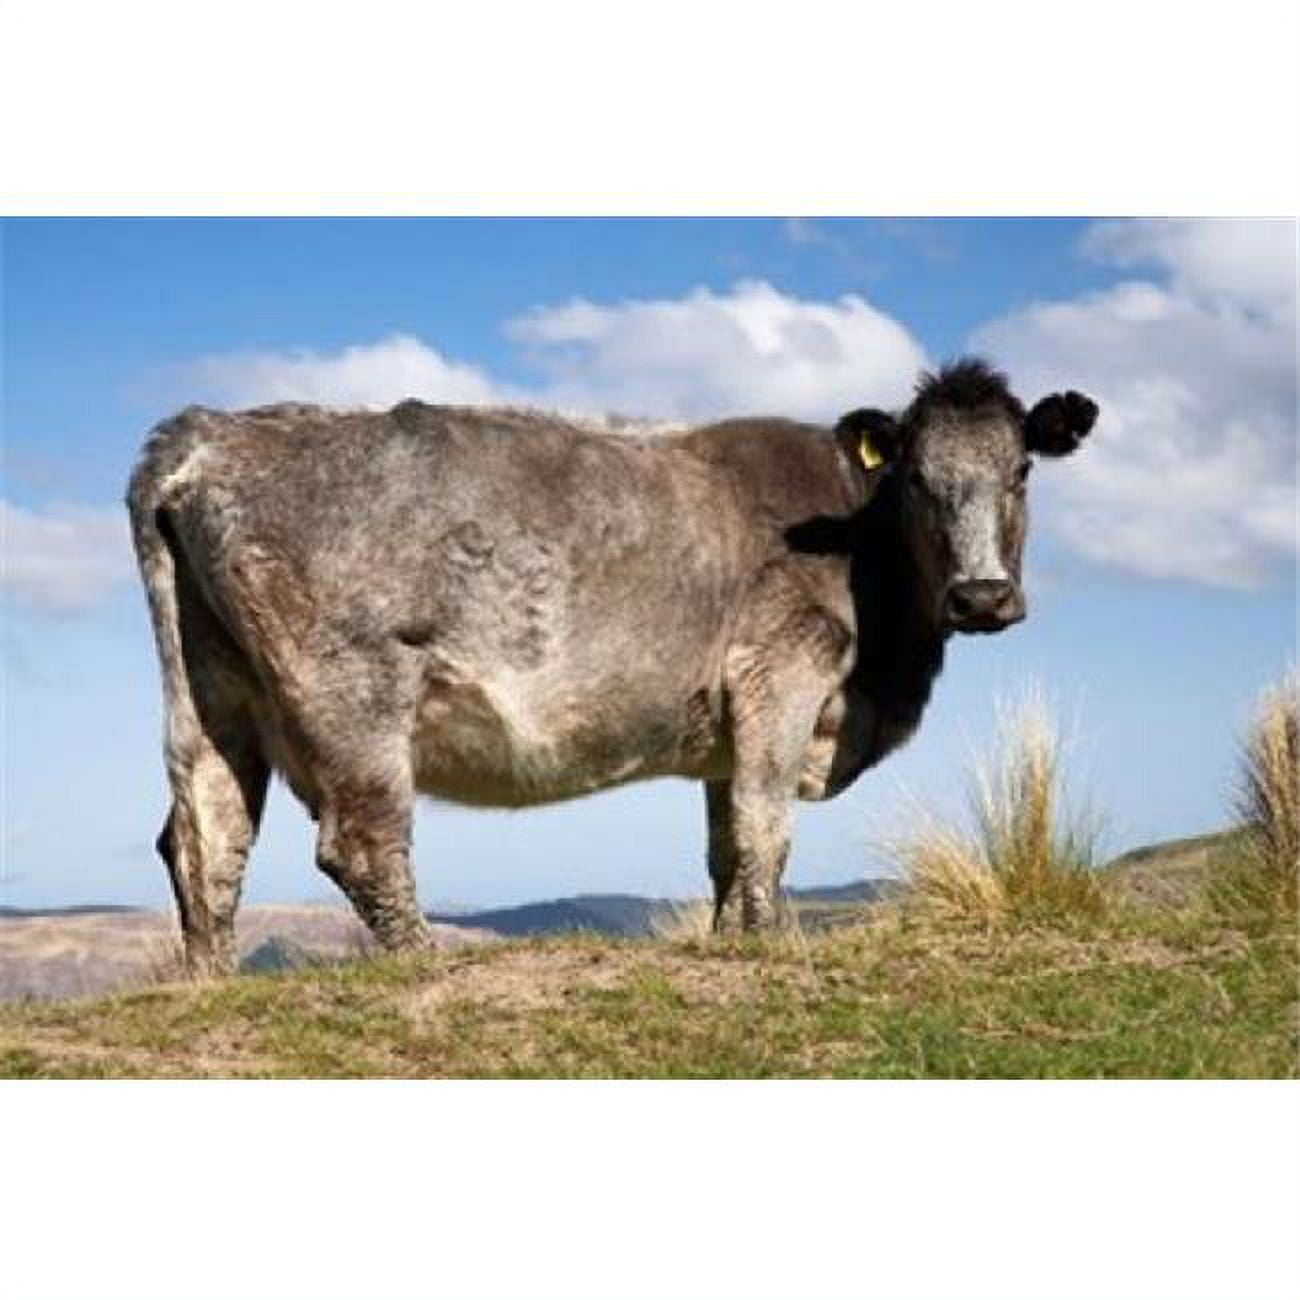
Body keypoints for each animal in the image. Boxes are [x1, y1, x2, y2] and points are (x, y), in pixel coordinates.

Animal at [126, 357, 1097, 975]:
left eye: (1020, 470)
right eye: (919, 479)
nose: (981, 596)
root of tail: (207, 430)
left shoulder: (725, 728)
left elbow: (725, 843)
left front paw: (728, 939)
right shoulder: (783, 669)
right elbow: (765, 825)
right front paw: (766, 947)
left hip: (211, 688)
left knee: (204, 832)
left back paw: (209, 983)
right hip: (354, 691)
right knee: (360, 840)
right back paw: (422, 962)